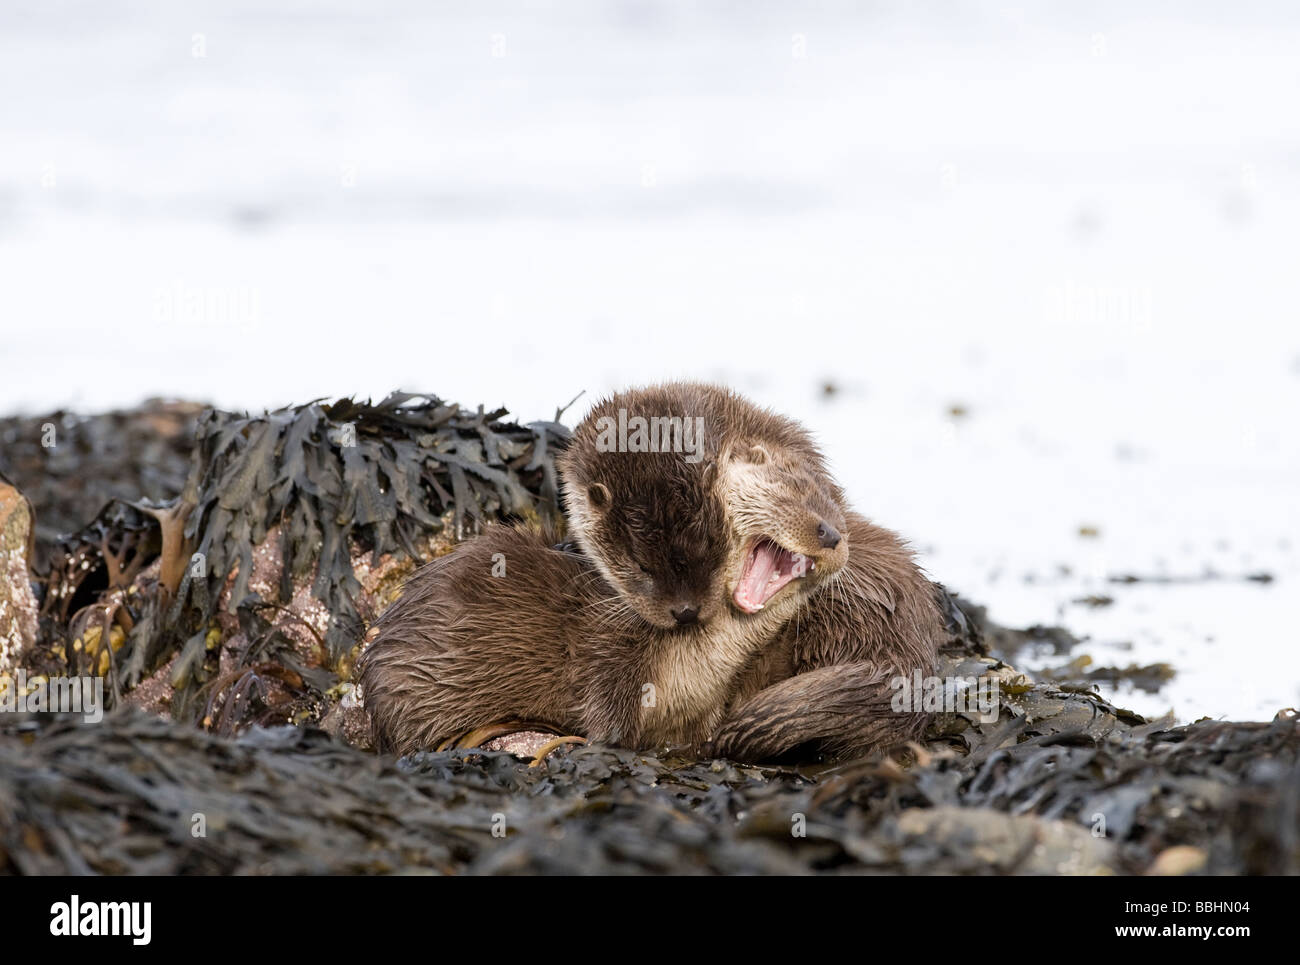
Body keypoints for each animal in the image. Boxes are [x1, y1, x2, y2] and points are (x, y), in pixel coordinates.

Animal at [359, 382, 943, 762]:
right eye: (639, 564)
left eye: (709, 550)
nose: (831, 534)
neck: (703, 660)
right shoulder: (610, 661)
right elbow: (604, 715)